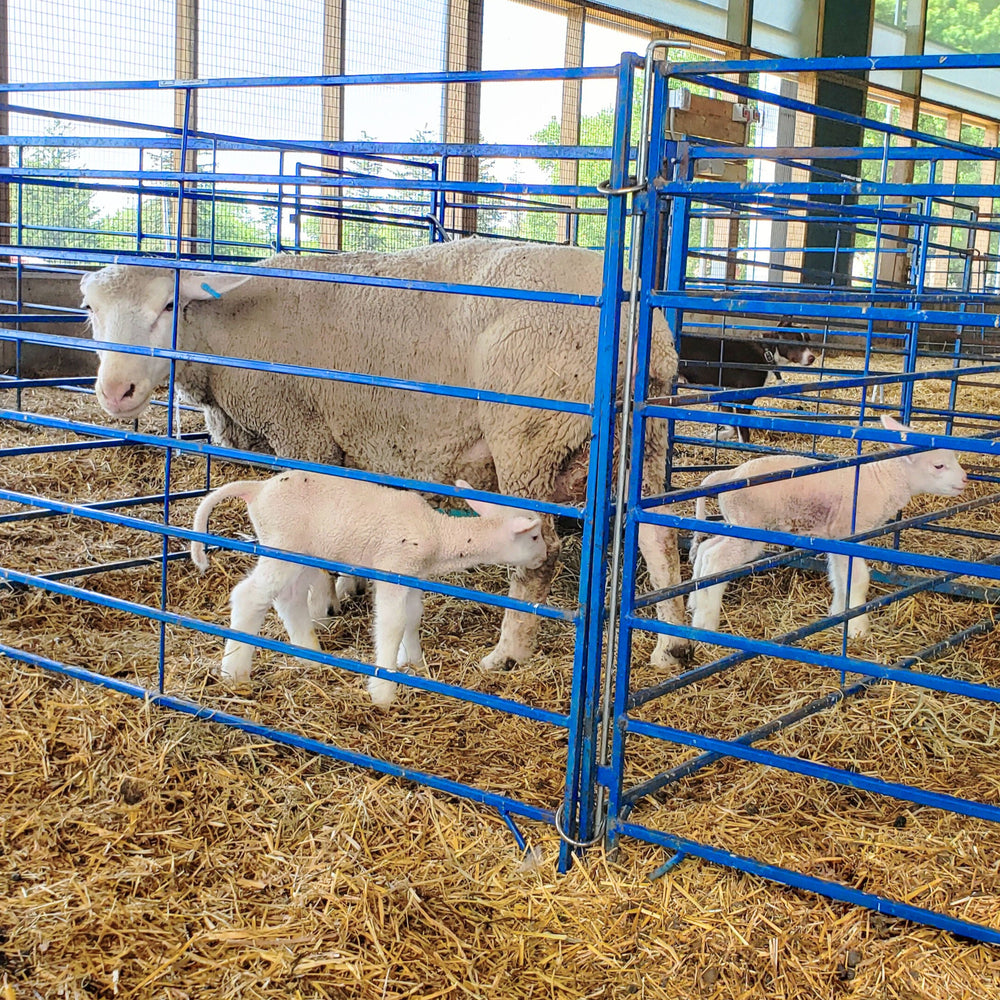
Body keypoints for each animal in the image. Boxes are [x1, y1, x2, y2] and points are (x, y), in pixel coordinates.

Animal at [82, 238, 688, 673]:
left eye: (169, 304)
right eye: (89, 309)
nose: (116, 393)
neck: (226, 336)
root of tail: (638, 325)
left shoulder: (303, 429)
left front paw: (323, 607)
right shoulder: (353, 439)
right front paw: (349, 589)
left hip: (527, 433)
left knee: (542, 554)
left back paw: (508, 654)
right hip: (649, 432)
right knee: (658, 536)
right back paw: (671, 646)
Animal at [190, 471, 547, 707]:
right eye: (533, 535)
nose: (545, 557)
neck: (438, 531)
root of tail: (258, 488)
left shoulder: (412, 576)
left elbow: (412, 618)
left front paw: (414, 666)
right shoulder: (394, 568)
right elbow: (391, 624)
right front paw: (383, 691)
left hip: (301, 553)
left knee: (289, 599)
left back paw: (311, 657)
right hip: (283, 544)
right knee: (250, 596)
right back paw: (235, 671)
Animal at [686, 415, 967, 638]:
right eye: (938, 465)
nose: (965, 479)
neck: (883, 481)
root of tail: (729, 475)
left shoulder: (838, 537)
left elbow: (841, 576)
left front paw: (839, 613)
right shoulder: (850, 533)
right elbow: (858, 579)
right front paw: (858, 628)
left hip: (736, 523)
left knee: (706, 550)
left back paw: (693, 602)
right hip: (750, 526)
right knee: (716, 560)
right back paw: (706, 621)